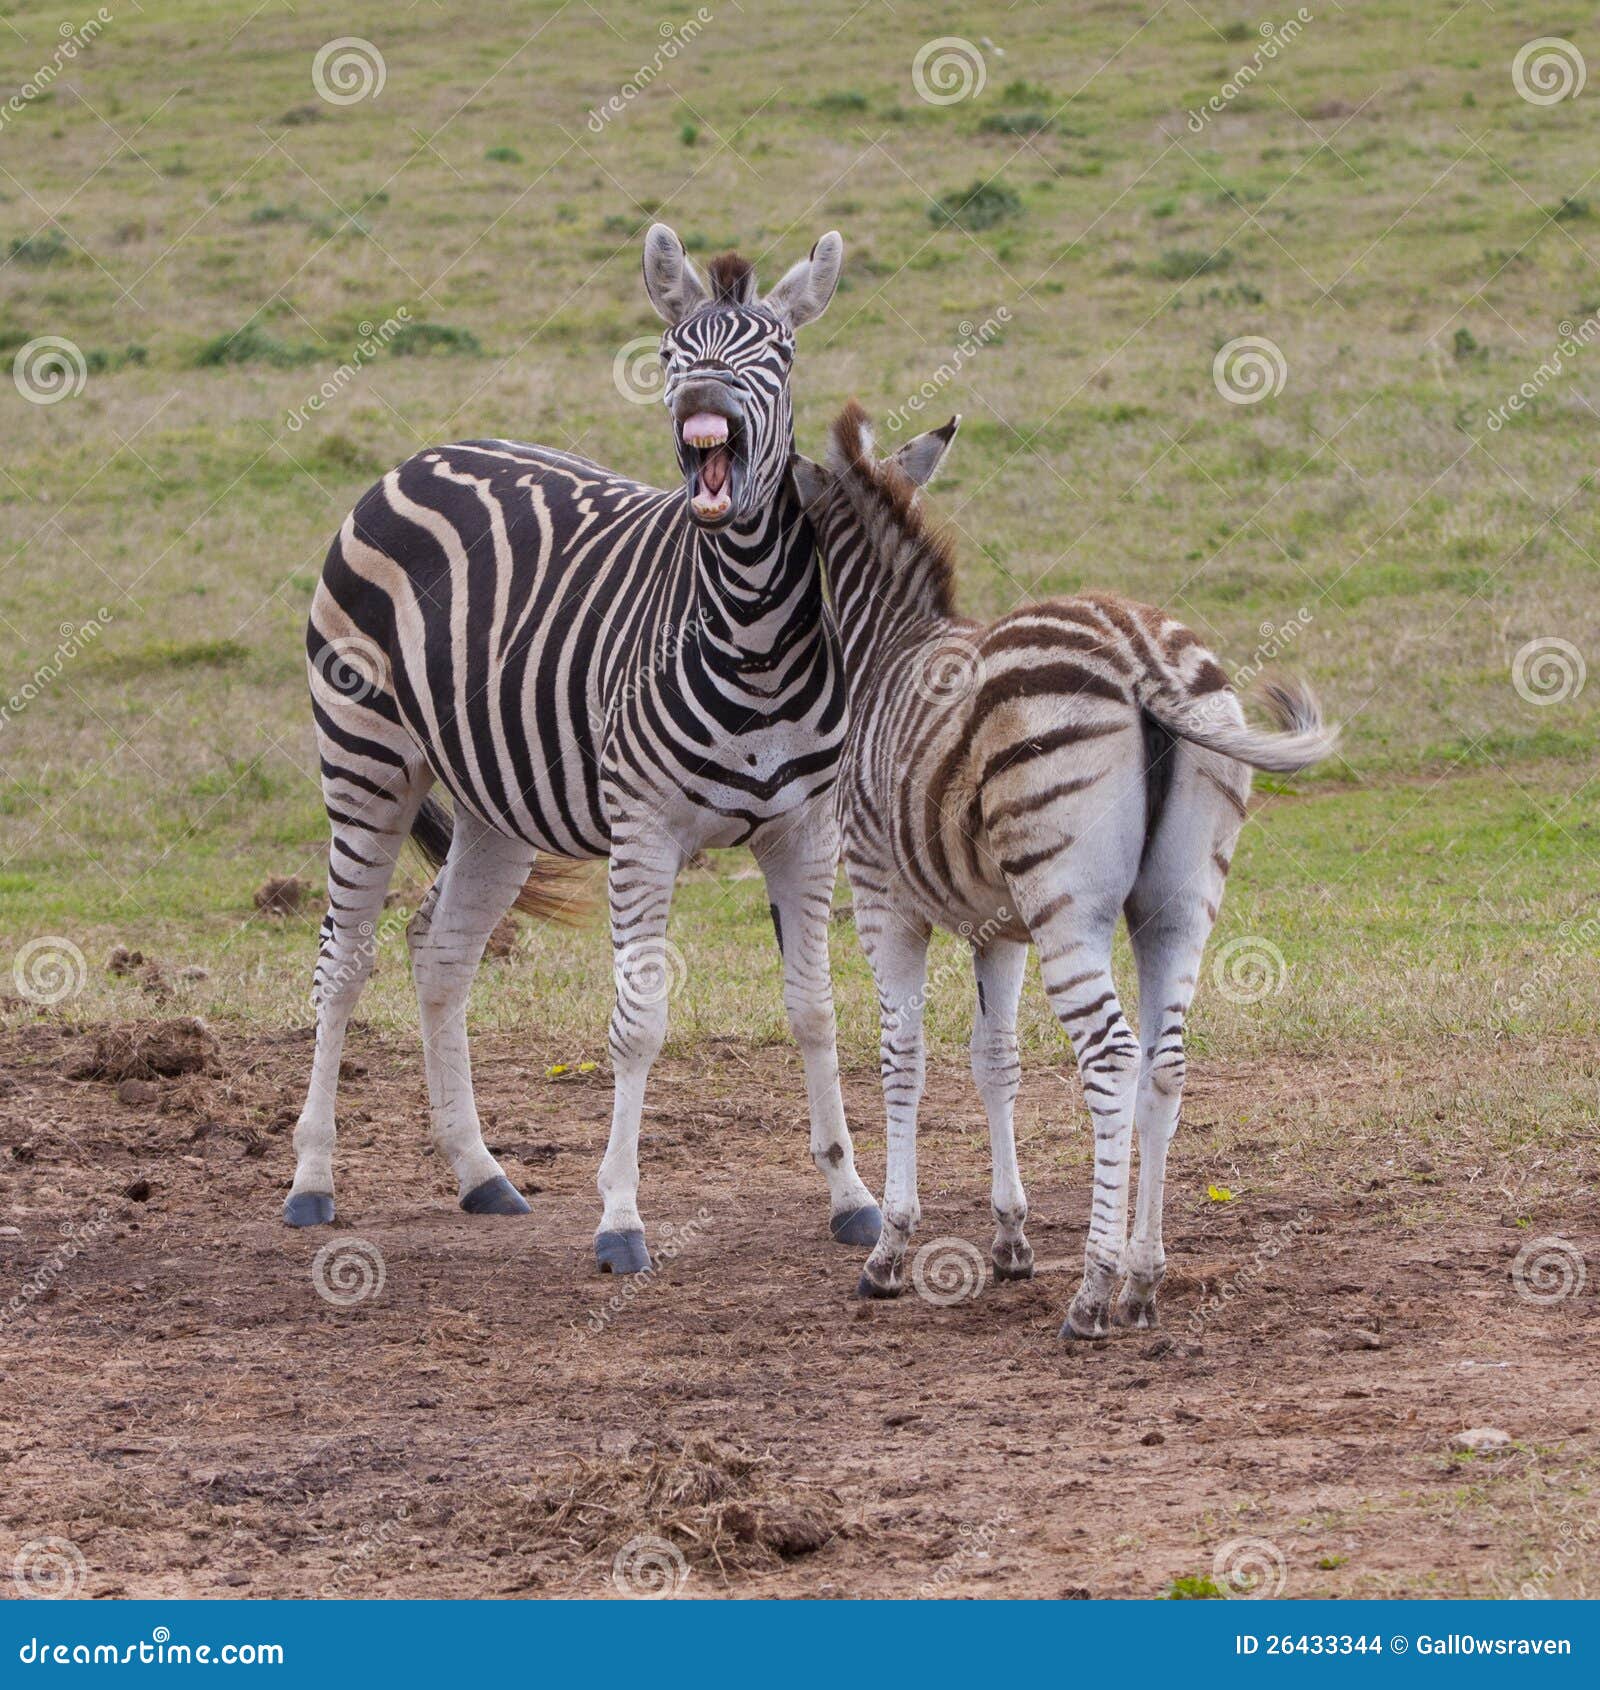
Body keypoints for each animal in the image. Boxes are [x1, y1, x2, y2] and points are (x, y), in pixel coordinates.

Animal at [286, 225, 883, 1272]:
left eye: (777, 352)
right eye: (676, 352)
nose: (701, 404)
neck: (755, 637)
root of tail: (420, 458)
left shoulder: (807, 831)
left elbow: (815, 1008)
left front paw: (852, 1197)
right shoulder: (644, 830)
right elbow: (638, 1025)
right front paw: (621, 1221)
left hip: (493, 801)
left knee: (439, 950)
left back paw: (479, 1172)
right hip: (366, 757)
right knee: (344, 957)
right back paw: (312, 1182)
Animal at [791, 402, 1337, 1337]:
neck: (893, 644)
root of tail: (1142, 656)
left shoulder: (881, 897)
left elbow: (904, 1059)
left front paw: (891, 1250)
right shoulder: (994, 927)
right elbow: (995, 1059)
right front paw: (1010, 1240)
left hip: (1066, 904)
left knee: (1113, 1059)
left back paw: (1092, 1291)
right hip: (1177, 903)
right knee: (1166, 1061)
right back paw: (1143, 1280)